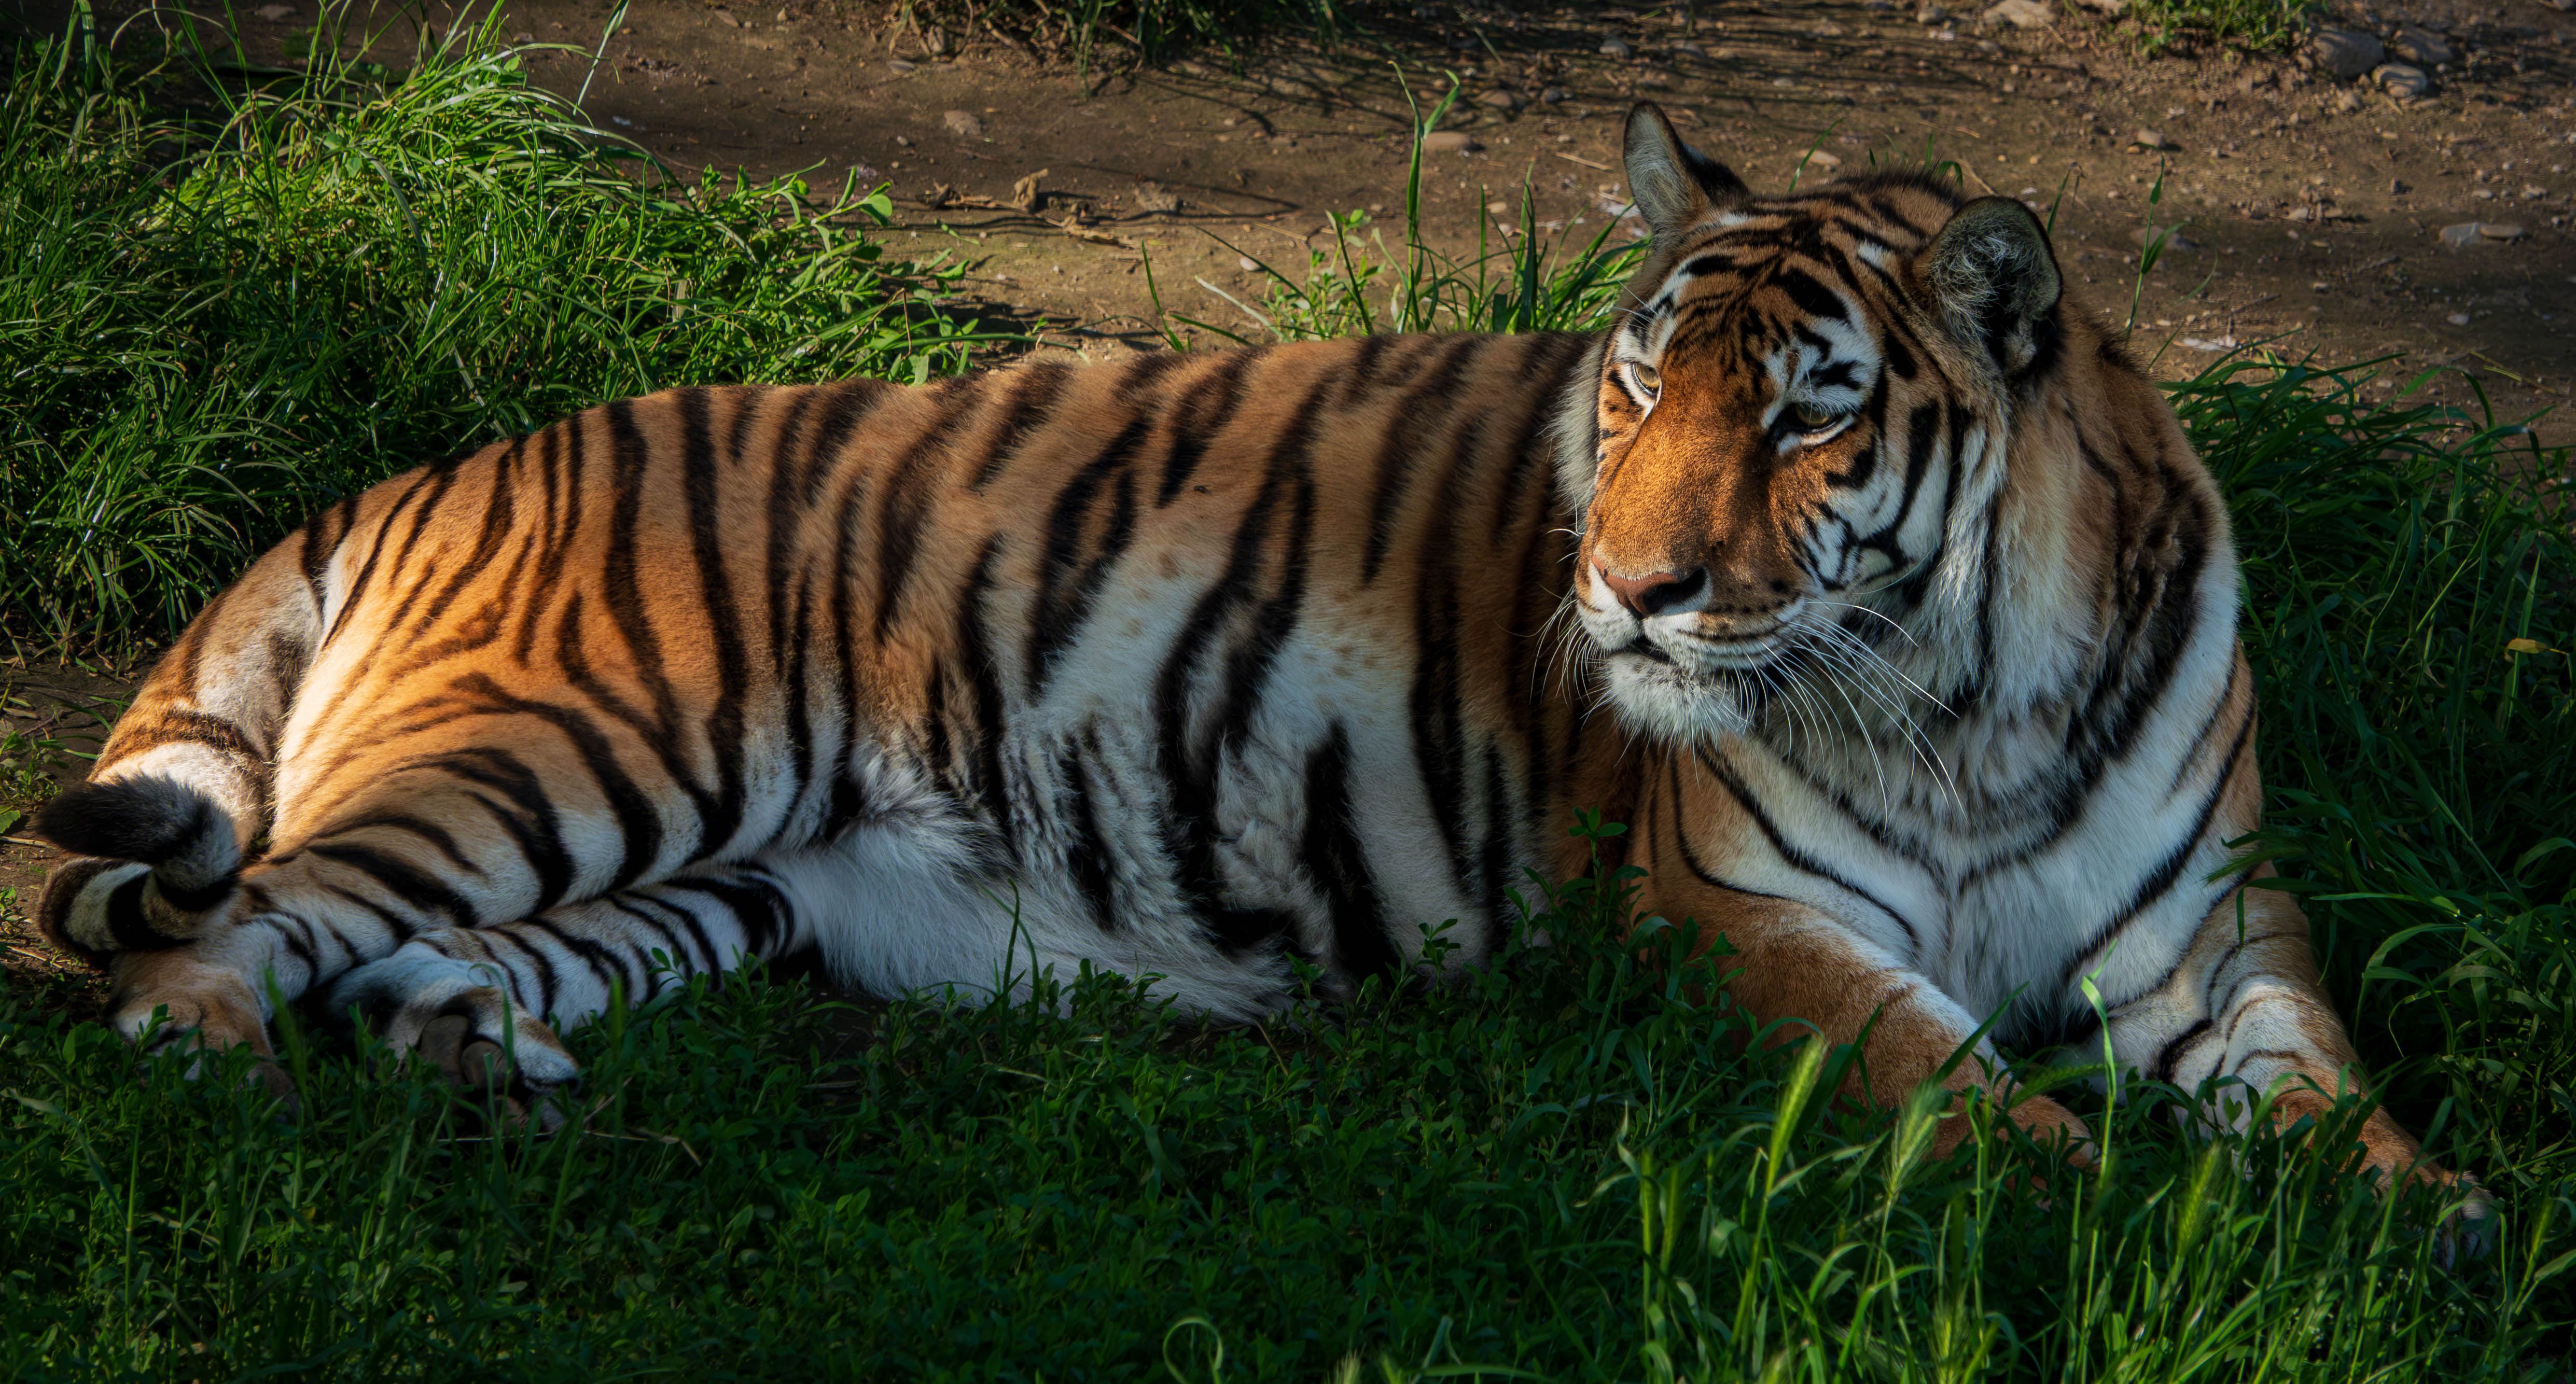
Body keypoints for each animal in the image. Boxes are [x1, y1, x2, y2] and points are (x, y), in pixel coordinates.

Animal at [33, 102, 2482, 1223]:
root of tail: (438, 462)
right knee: (195, 938)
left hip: (702, 881)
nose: (1627, 593)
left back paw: (476, 1071)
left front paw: (2423, 1223)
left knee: (404, 961)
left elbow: (2328, 1087)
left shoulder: (2216, 923)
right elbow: (1965, 1095)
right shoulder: (1741, 915)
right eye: (1635, 384)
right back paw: (233, 1083)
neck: (1964, 698)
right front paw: (2122, 1203)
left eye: (1809, 414)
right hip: (574, 750)